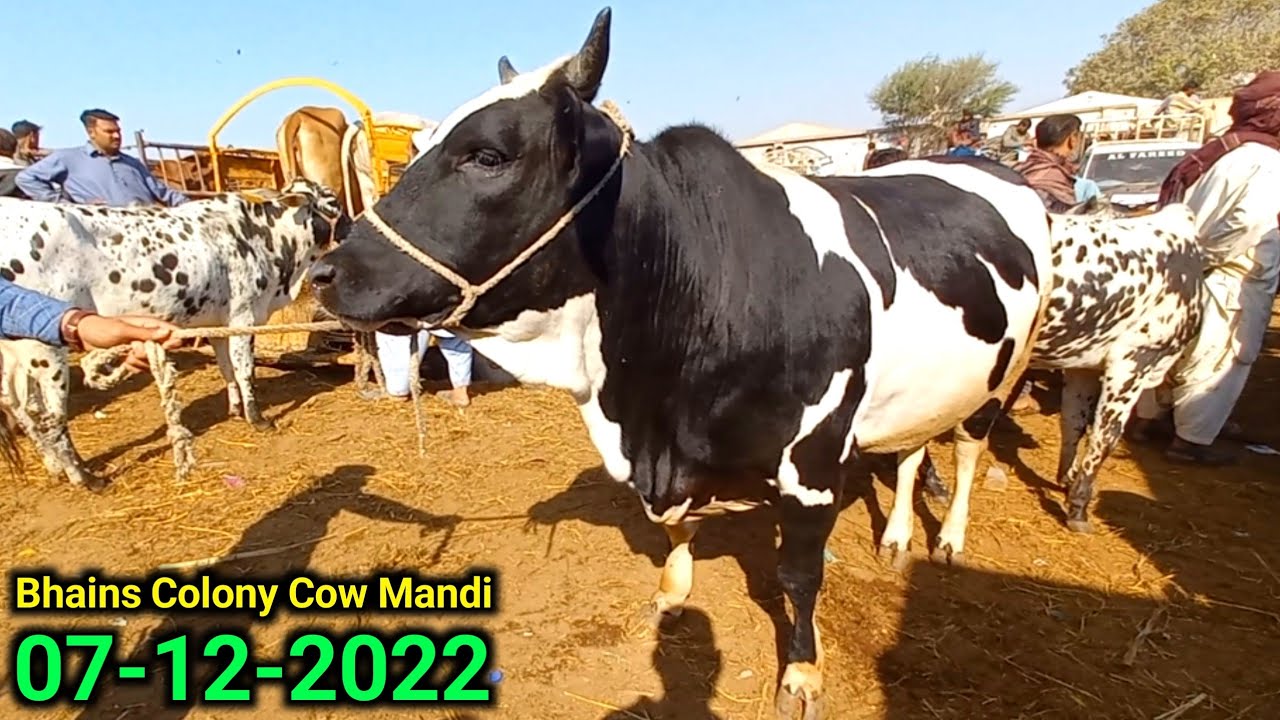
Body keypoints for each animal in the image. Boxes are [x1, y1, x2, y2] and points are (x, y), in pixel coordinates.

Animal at [0, 178, 349, 489]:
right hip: (46, 355)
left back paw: (54, 467)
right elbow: (245, 370)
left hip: (18, 357)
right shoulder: (244, 313)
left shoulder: (220, 322)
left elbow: (226, 369)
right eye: (332, 199)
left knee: (24, 409)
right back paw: (86, 479)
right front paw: (258, 419)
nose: (349, 228)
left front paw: (235, 409)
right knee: (53, 418)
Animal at [306, 8, 1054, 718]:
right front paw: (672, 592)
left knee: (965, 450)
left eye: (487, 155)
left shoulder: (812, 463)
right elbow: (676, 528)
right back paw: (897, 537)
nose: (327, 273)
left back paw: (947, 539)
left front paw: (803, 672)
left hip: (1005, 375)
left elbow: (799, 575)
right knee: (910, 449)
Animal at [914, 202, 1205, 533]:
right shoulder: (1134, 362)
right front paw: (1078, 507)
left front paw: (1067, 478)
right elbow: (1105, 436)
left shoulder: (1084, 366)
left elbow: (1074, 422)